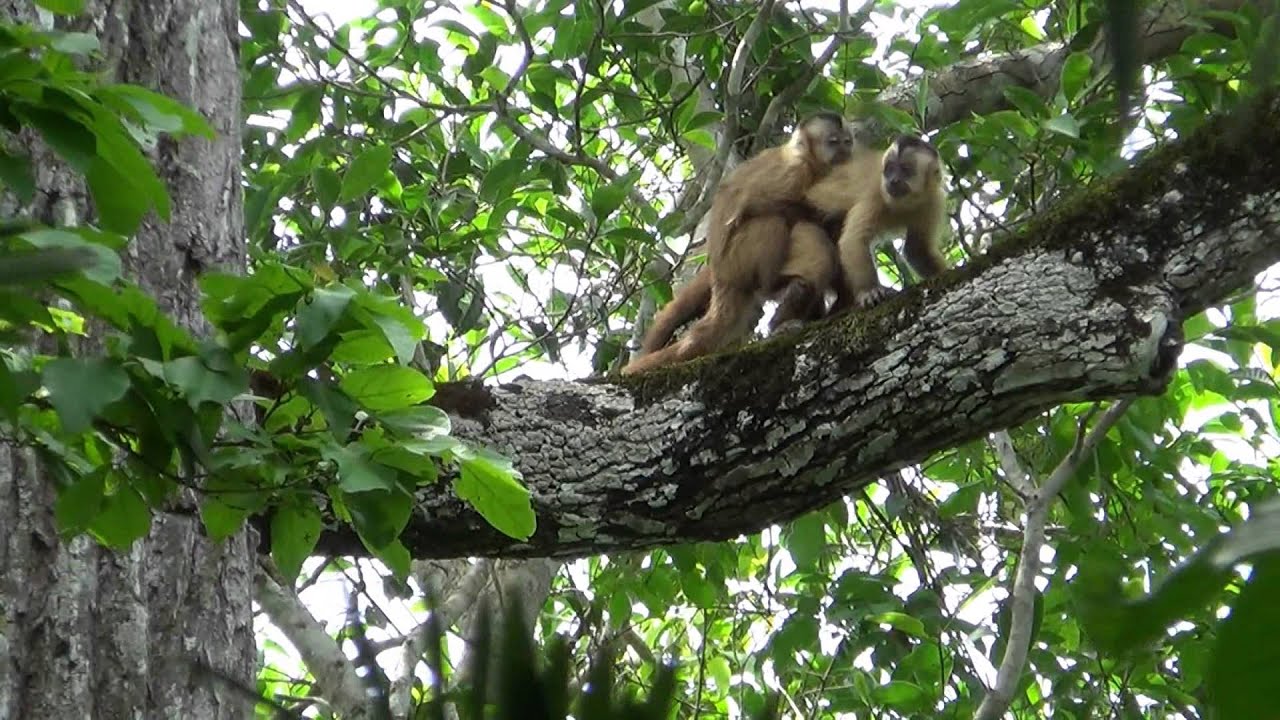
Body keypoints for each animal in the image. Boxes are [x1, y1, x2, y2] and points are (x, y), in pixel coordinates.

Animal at [621, 112, 856, 375]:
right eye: (833, 143)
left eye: (847, 142)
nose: (845, 153)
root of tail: (721, 276)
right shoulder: (794, 172)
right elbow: (756, 206)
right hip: (737, 260)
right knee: (770, 221)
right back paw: (773, 284)